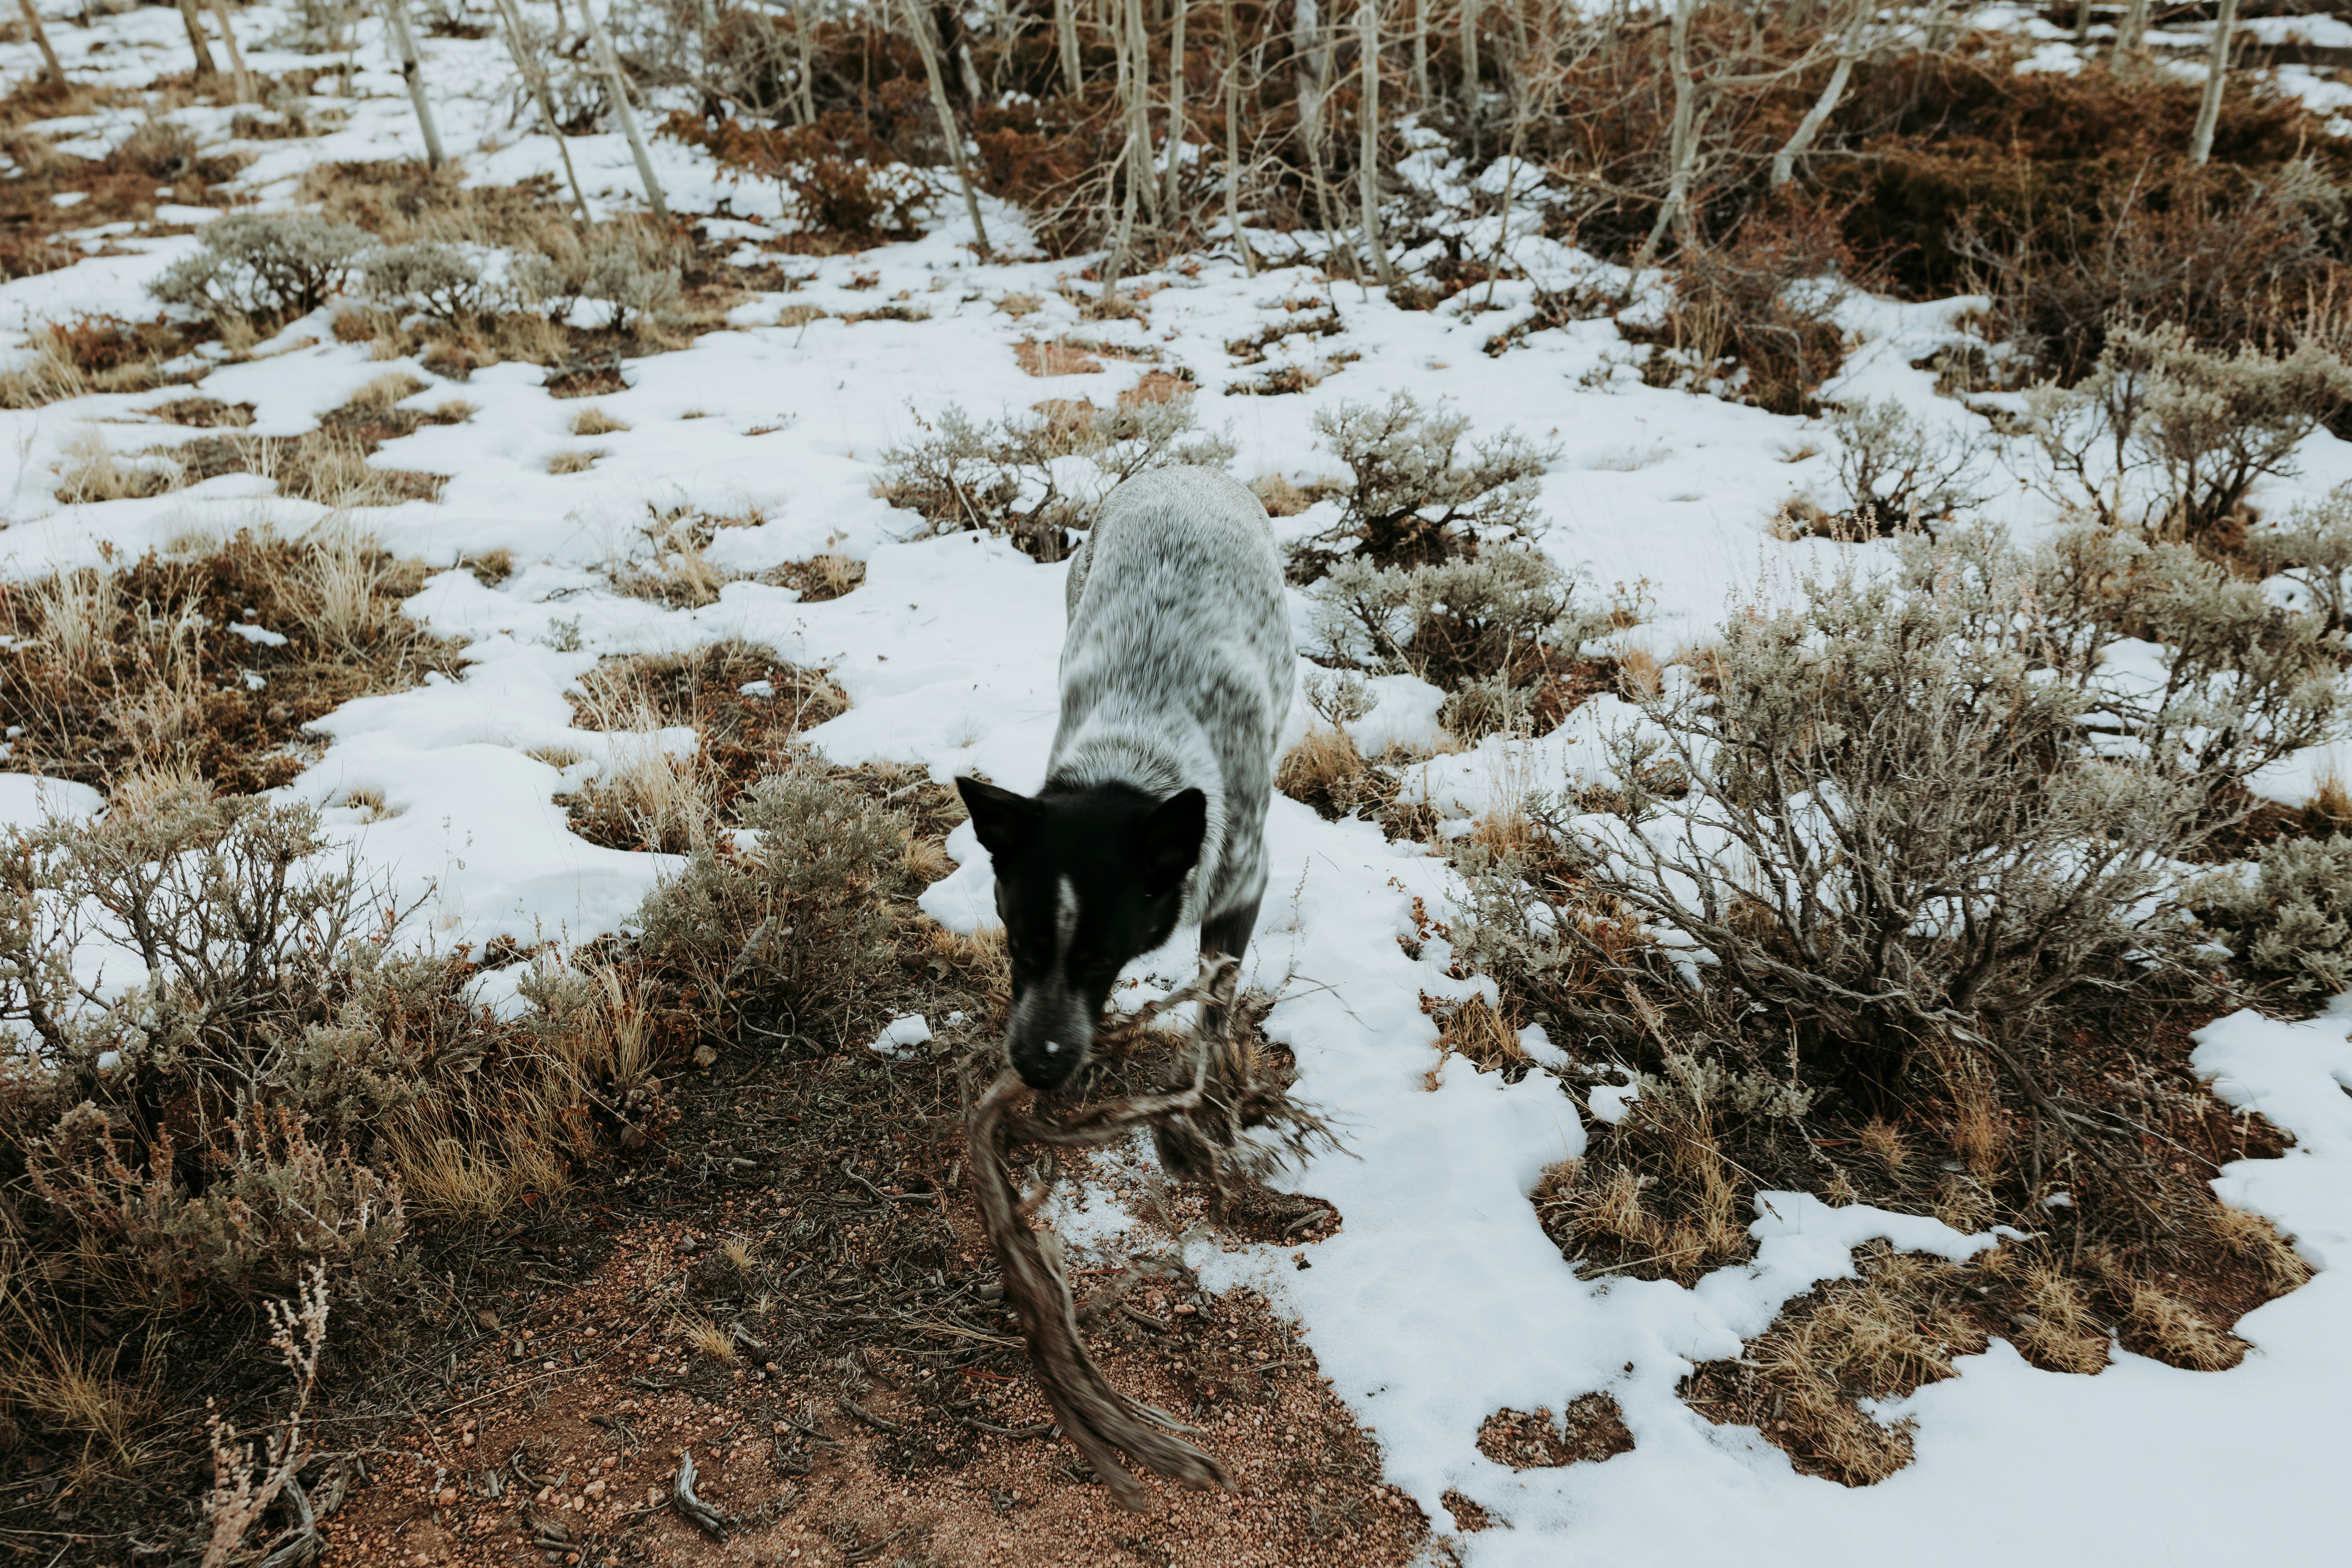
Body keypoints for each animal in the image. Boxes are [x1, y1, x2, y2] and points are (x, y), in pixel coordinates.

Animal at [956, 466, 1293, 1153]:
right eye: (1019, 946)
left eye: (1101, 960)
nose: (1036, 1067)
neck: (1133, 761)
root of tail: (1186, 468)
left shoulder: (1243, 885)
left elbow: (1215, 1008)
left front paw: (1211, 1090)